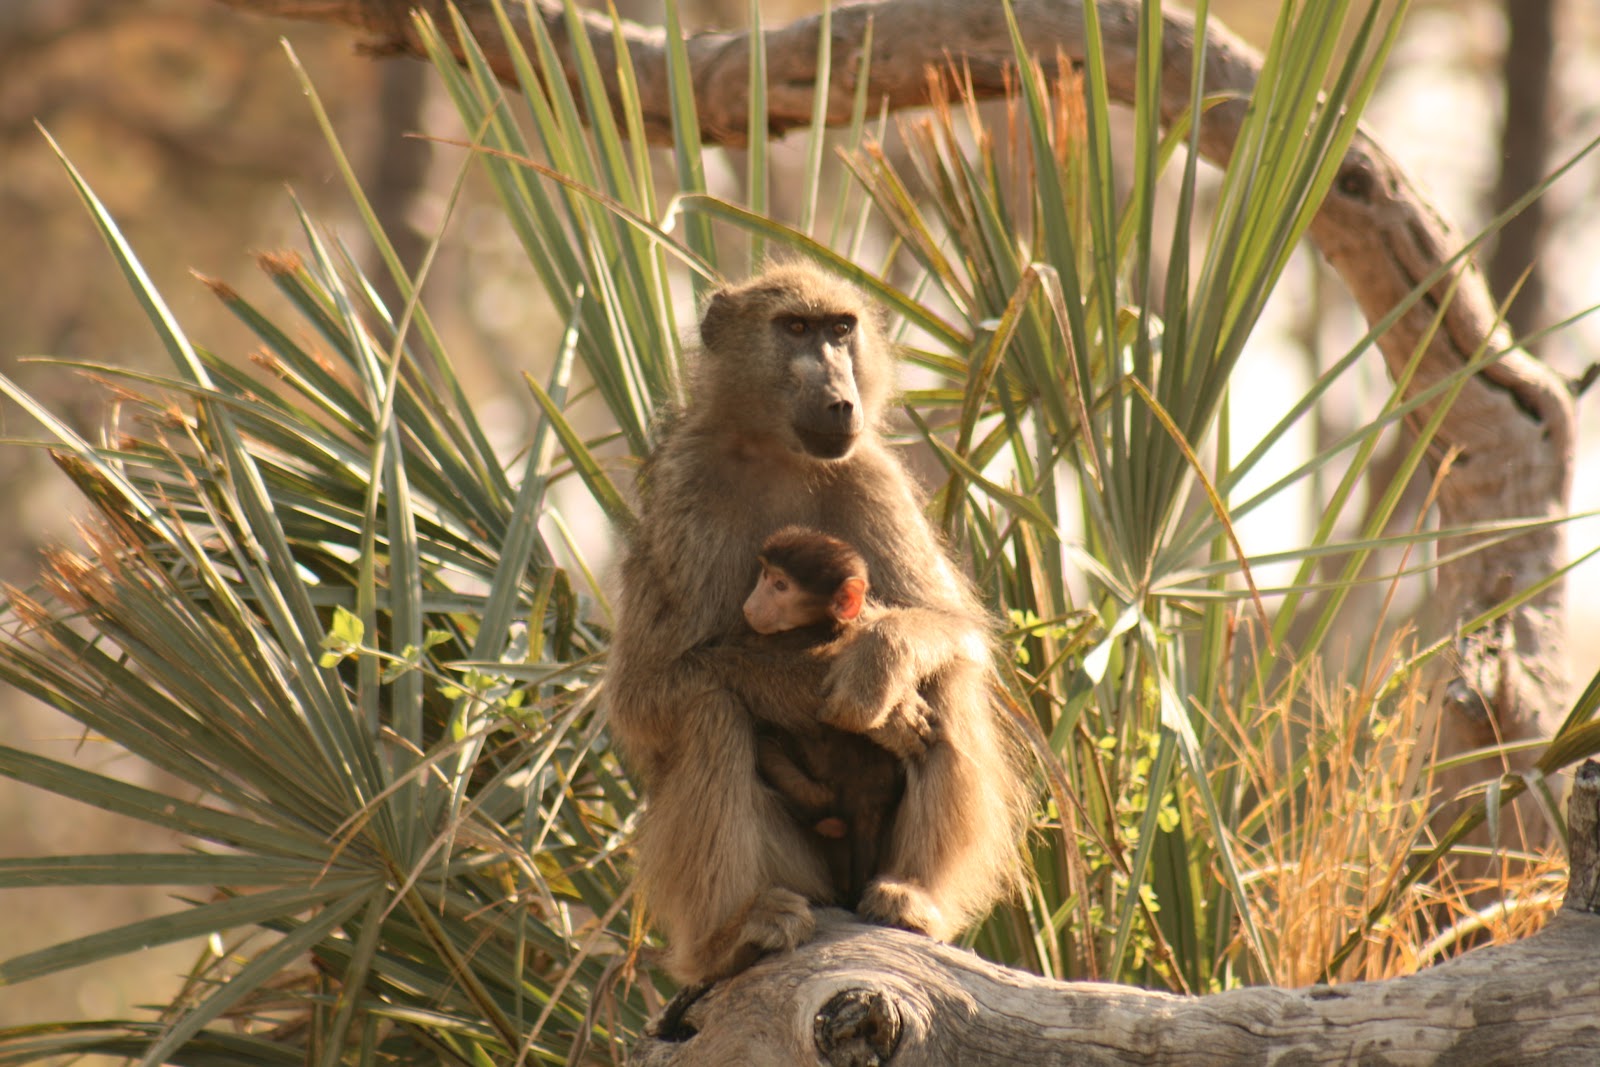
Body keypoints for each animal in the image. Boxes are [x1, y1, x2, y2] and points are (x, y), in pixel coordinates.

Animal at [605, 263, 1033, 984]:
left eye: (840, 329)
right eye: (796, 327)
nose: (839, 400)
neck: (776, 447)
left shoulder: (871, 472)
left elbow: (955, 628)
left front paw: (875, 669)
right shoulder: (685, 489)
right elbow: (645, 691)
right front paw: (824, 690)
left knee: (947, 680)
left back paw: (910, 897)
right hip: (795, 869)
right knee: (707, 707)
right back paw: (732, 936)